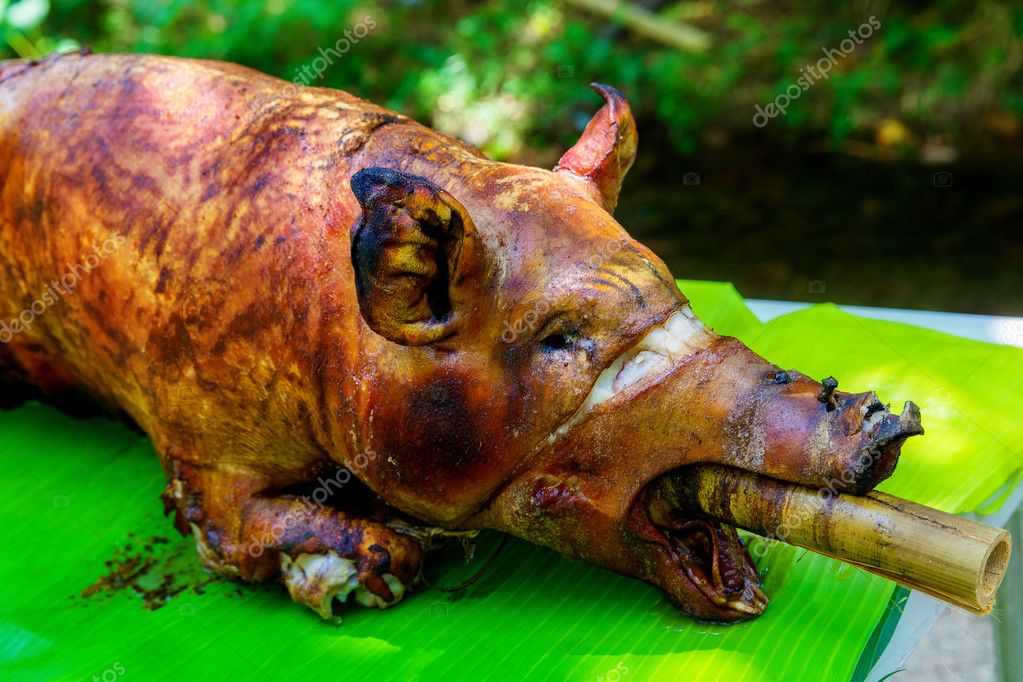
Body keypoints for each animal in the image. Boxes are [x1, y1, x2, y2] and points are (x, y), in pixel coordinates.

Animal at [0, 52, 922, 621]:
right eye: (560, 338)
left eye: (673, 291)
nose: (885, 420)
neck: (325, 331)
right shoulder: (195, 432)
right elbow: (221, 528)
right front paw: (385, 564)